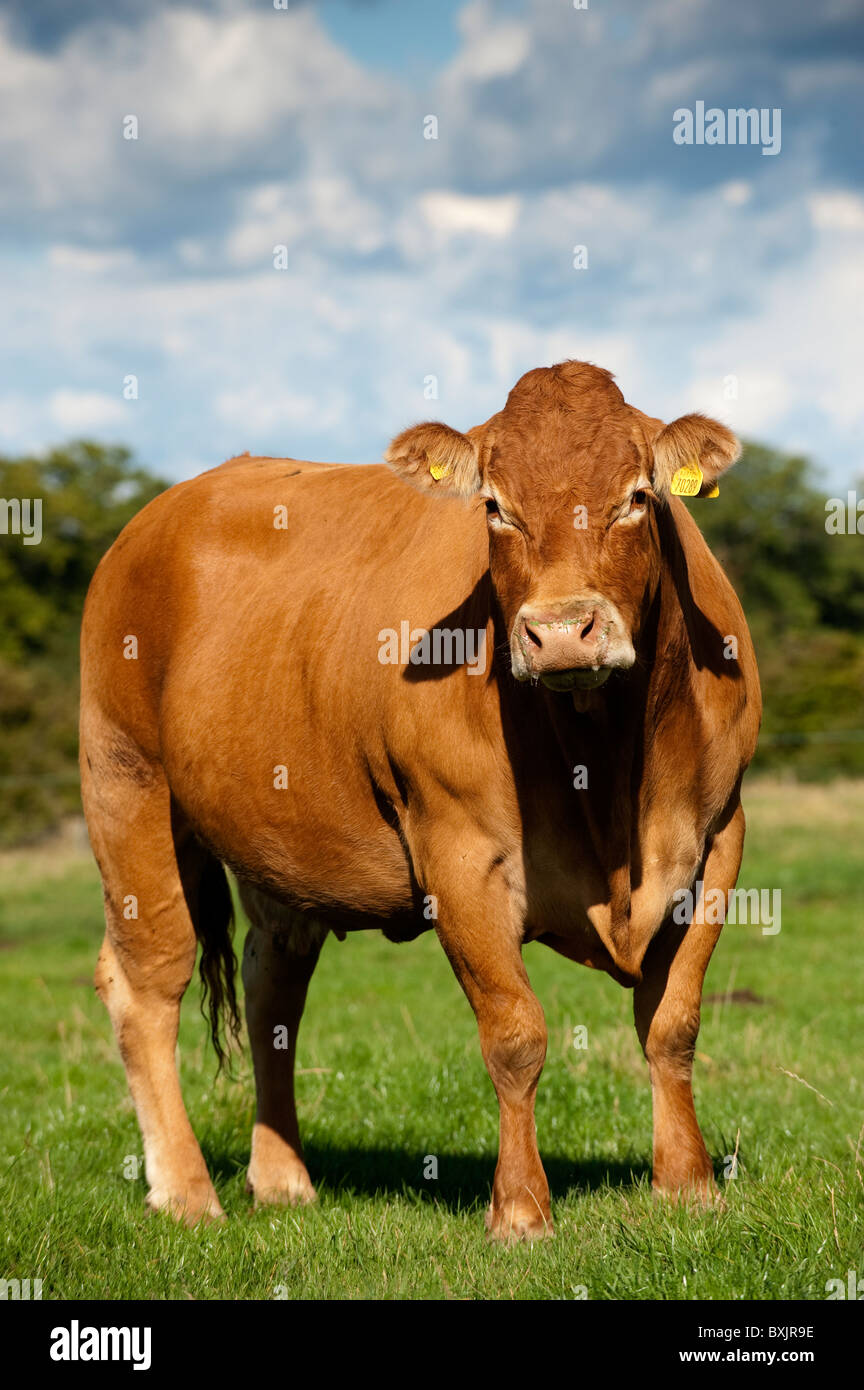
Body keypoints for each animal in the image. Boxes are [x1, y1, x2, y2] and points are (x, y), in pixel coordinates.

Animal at [79, 360, 760, 1242]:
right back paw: (188, 1192)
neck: (610, 769)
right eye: (495, 506)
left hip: (277, 836)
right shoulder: (459, 852)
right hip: (124, 784)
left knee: (273, 984)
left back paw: (284, 1178)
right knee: (147, 985)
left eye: (638, 496)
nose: (561, 633)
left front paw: (688, 1186)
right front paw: (521, 1211)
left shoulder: (717, 841)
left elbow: (672, 1023)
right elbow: (514, 1034)